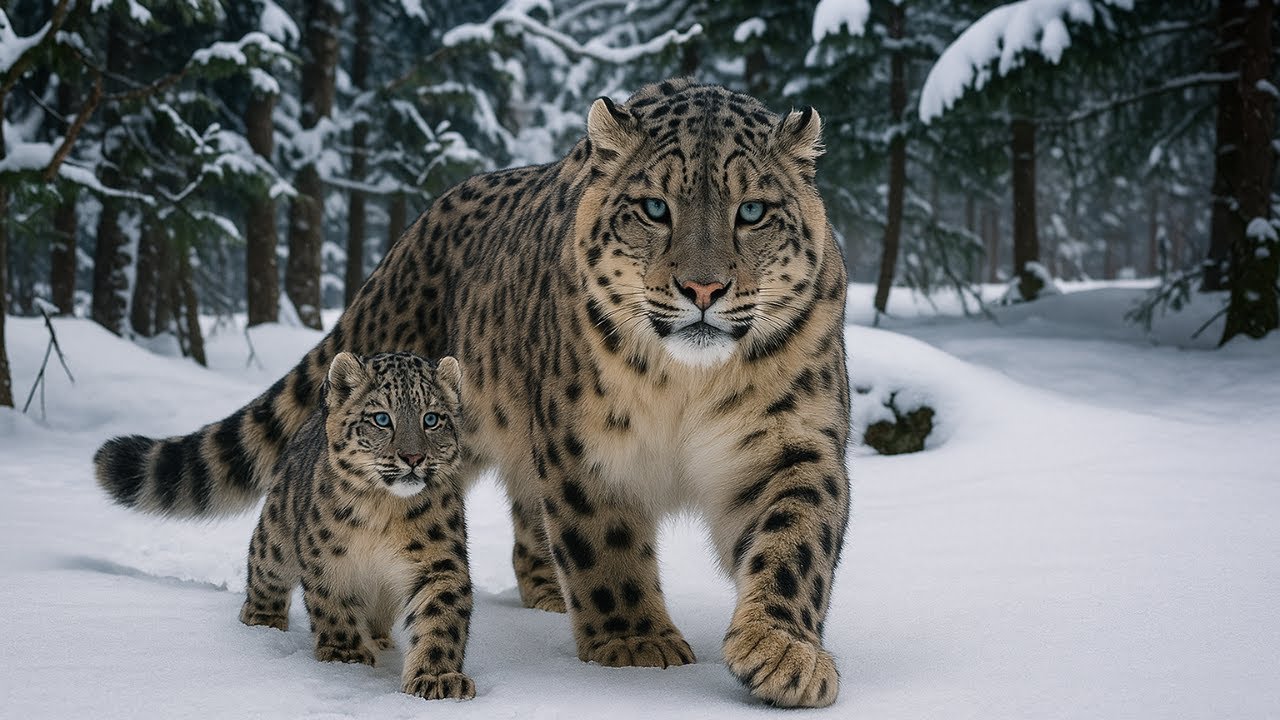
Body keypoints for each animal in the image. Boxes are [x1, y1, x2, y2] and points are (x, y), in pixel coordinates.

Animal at [103, 352, 476, 701]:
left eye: (432, 419)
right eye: (381, 418)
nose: (413, 458)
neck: (383, 512)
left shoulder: (439, 561)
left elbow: (440, 618)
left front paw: (437, 678)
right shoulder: (326, 558)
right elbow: (334, 606)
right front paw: (347, 657)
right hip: (275, 538)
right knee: (264, 571)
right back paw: (262, 623)